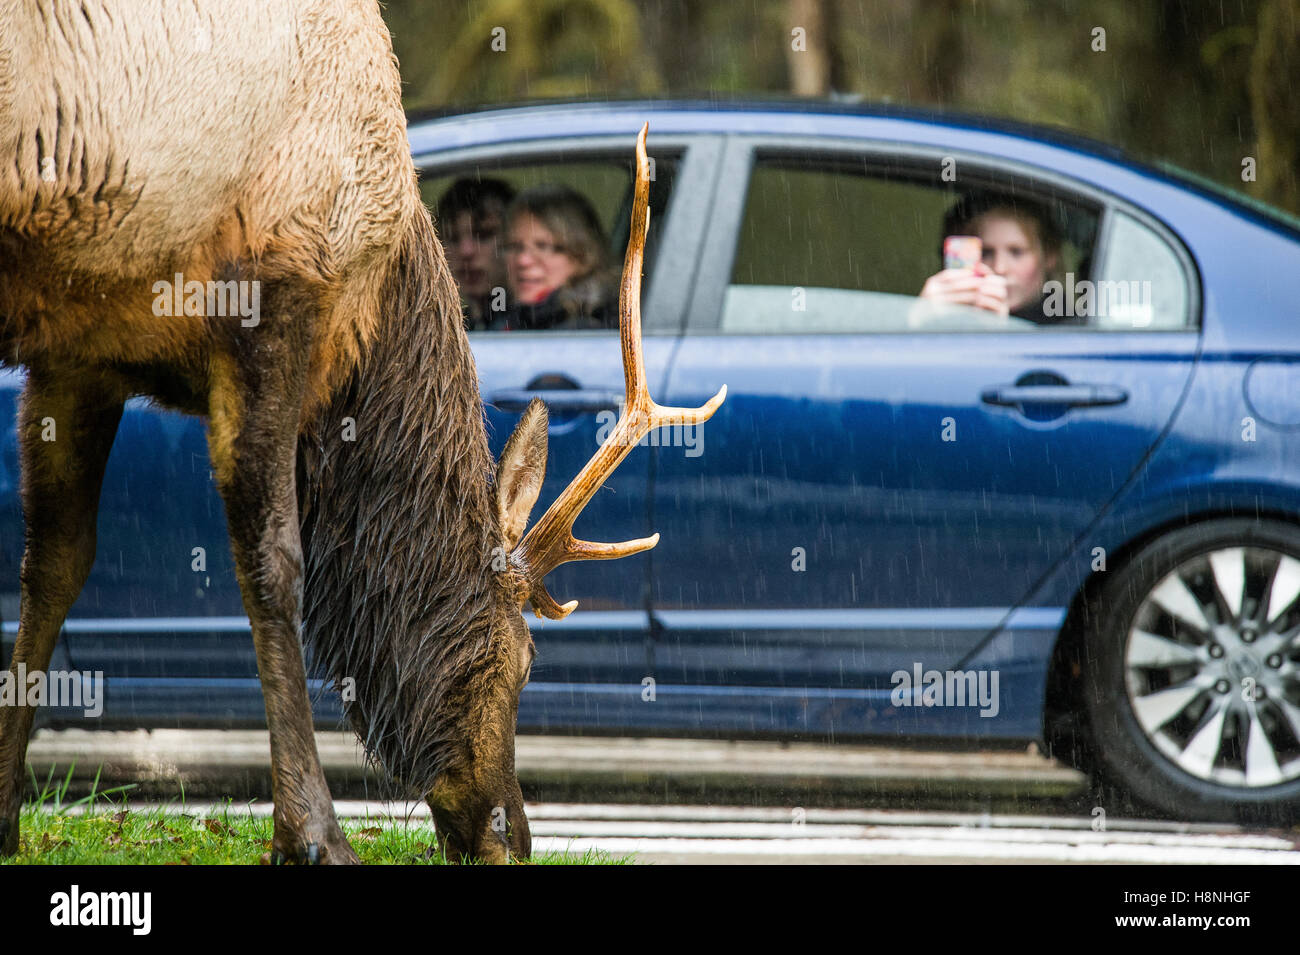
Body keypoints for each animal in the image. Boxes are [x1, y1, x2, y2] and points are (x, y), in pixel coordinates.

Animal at [0, 0, 724, 864]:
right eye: (524, 661)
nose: (514, 835)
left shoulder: (79, 350)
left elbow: (55, 565)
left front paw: (3, 811)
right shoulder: (274, 294)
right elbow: (274, 565)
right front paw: (313, 833)